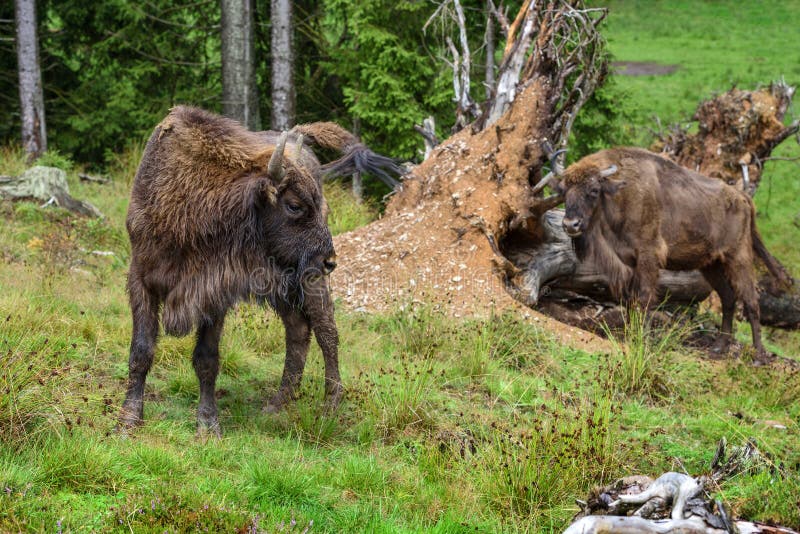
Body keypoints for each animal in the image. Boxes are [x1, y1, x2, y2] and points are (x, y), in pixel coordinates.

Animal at [119, 106, 401, 435]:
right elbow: (141, 351)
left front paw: (208, 426)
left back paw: (330, 405)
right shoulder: (142, 279)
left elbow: (206, 359)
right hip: (282, 282)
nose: (329, 261)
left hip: (309, 280)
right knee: (298, 331)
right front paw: (128, 421)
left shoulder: (216, 292)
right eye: (294, 205)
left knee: (326, 331)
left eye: (313, 204)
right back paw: (278, 404)